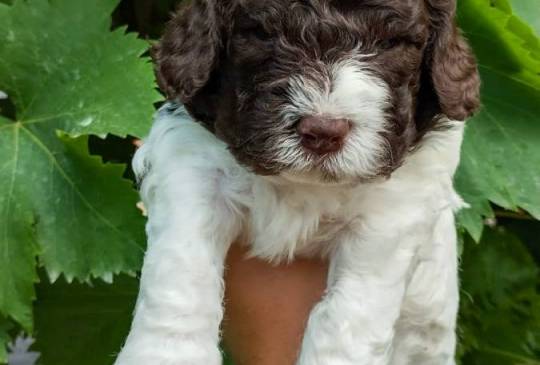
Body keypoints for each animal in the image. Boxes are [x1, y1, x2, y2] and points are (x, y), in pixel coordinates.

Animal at [116, 1, 478, 362]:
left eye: (392, 42)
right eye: (262, 33)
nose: (323, 131)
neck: (301, 184)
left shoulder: (394, 210)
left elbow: (351, 313)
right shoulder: (189, 161)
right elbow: (182, 269)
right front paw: (166, 352)